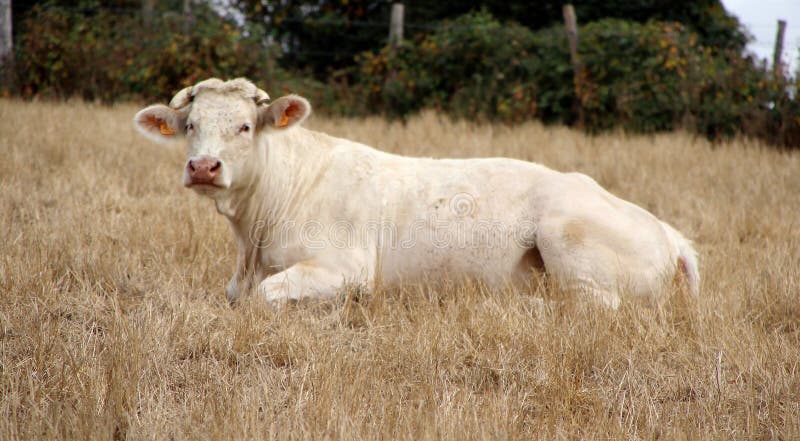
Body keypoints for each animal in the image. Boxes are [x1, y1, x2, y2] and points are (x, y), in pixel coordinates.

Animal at [133, 78, 699, 308]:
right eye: (191, 125)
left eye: (246, 126)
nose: (203, 167)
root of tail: (669, 233)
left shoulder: (345, 268)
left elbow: (265, 298)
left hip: (566, 237)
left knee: (592, 307)